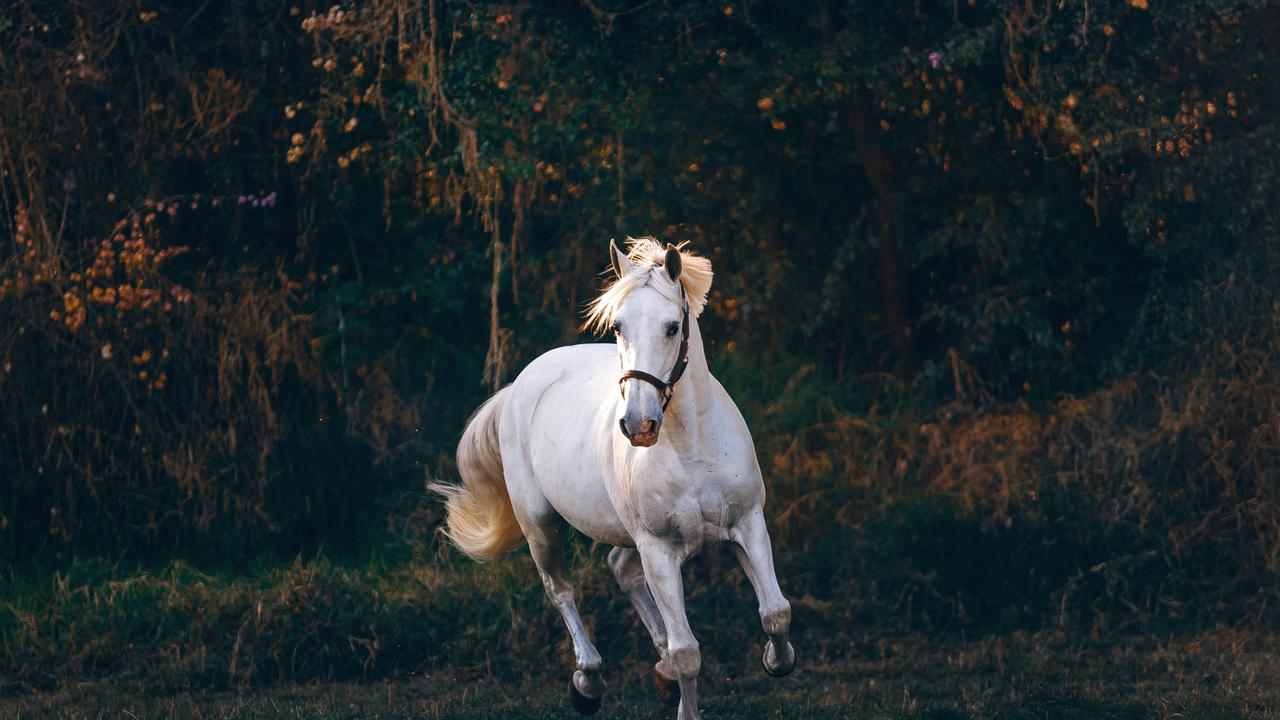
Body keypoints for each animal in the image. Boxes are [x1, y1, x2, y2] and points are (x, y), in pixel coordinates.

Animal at [431, 238, 794, 720]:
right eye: (618, 326)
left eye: (672, 327)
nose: (638, 424)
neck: (691, 445)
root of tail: (521, 384)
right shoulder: (658, 549)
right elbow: (687, 652)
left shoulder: (748, 524)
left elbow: (775, 613)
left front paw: (776, 660)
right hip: (541, 526)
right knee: (561, 589)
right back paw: (587, 682)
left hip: (623, 532)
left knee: (620, 568)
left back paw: (658, 674)